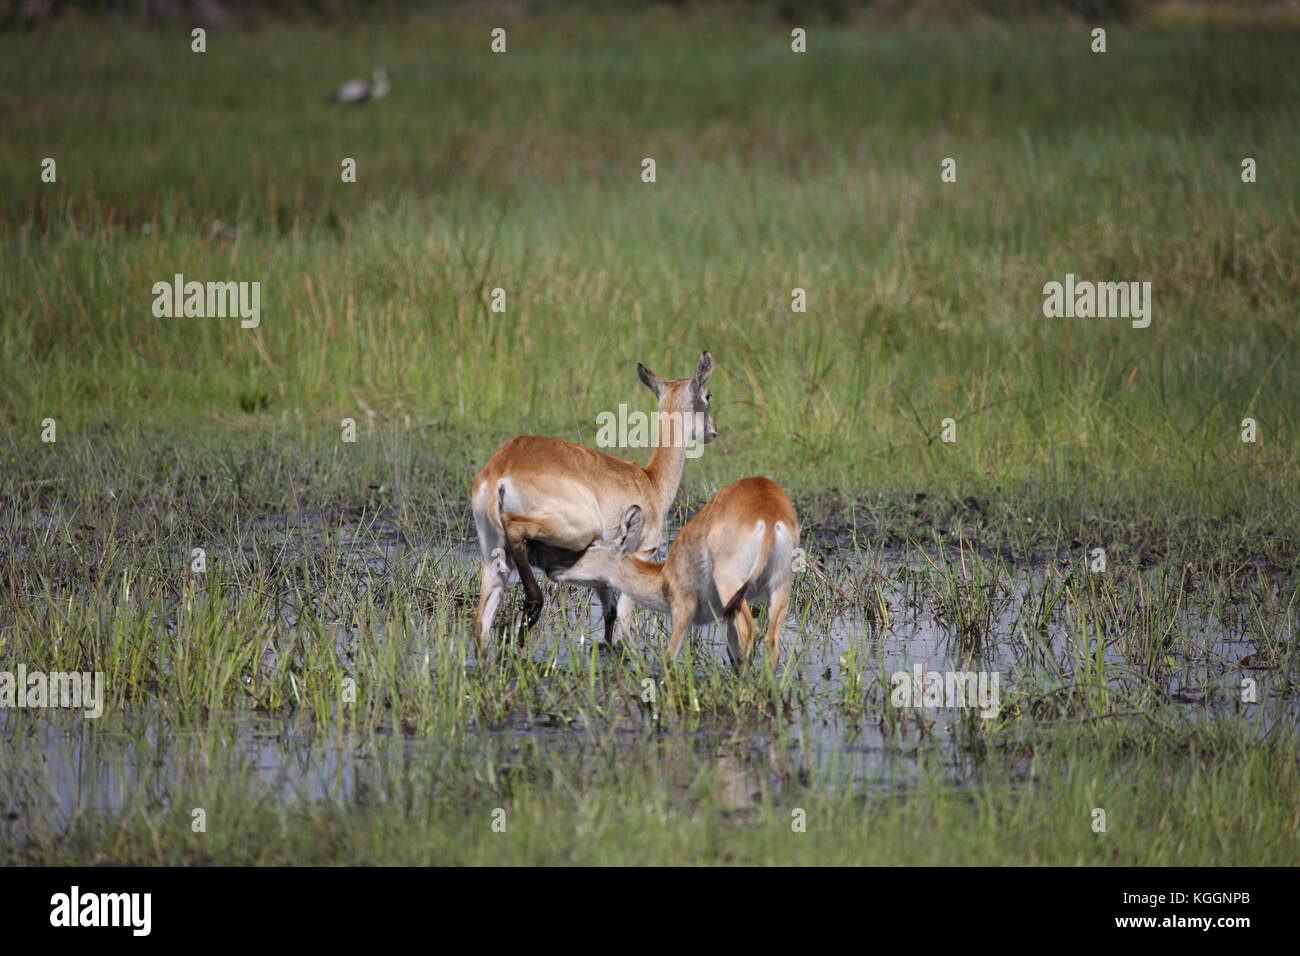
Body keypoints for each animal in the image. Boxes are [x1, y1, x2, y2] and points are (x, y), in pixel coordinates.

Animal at [471, 352, 717, 651]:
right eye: (708, 394)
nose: (712, 430)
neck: (651, 482)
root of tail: (501, 466)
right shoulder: (641, 554)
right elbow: (623, 626)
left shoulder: (604, 575)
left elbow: (609, 616)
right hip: (573, 532)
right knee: (516, 529)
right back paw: (532, 607)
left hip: (493, 558)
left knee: (482, 624)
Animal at [562, 477, 799, 668]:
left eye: (593, 545)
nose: (558, 566)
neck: (665, 576)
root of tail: (769, 512)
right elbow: (733, 652)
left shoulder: (683, 608)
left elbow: (670, 657)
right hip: (779, 586)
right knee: (770, 642)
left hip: (729, 583)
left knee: (751, 632)